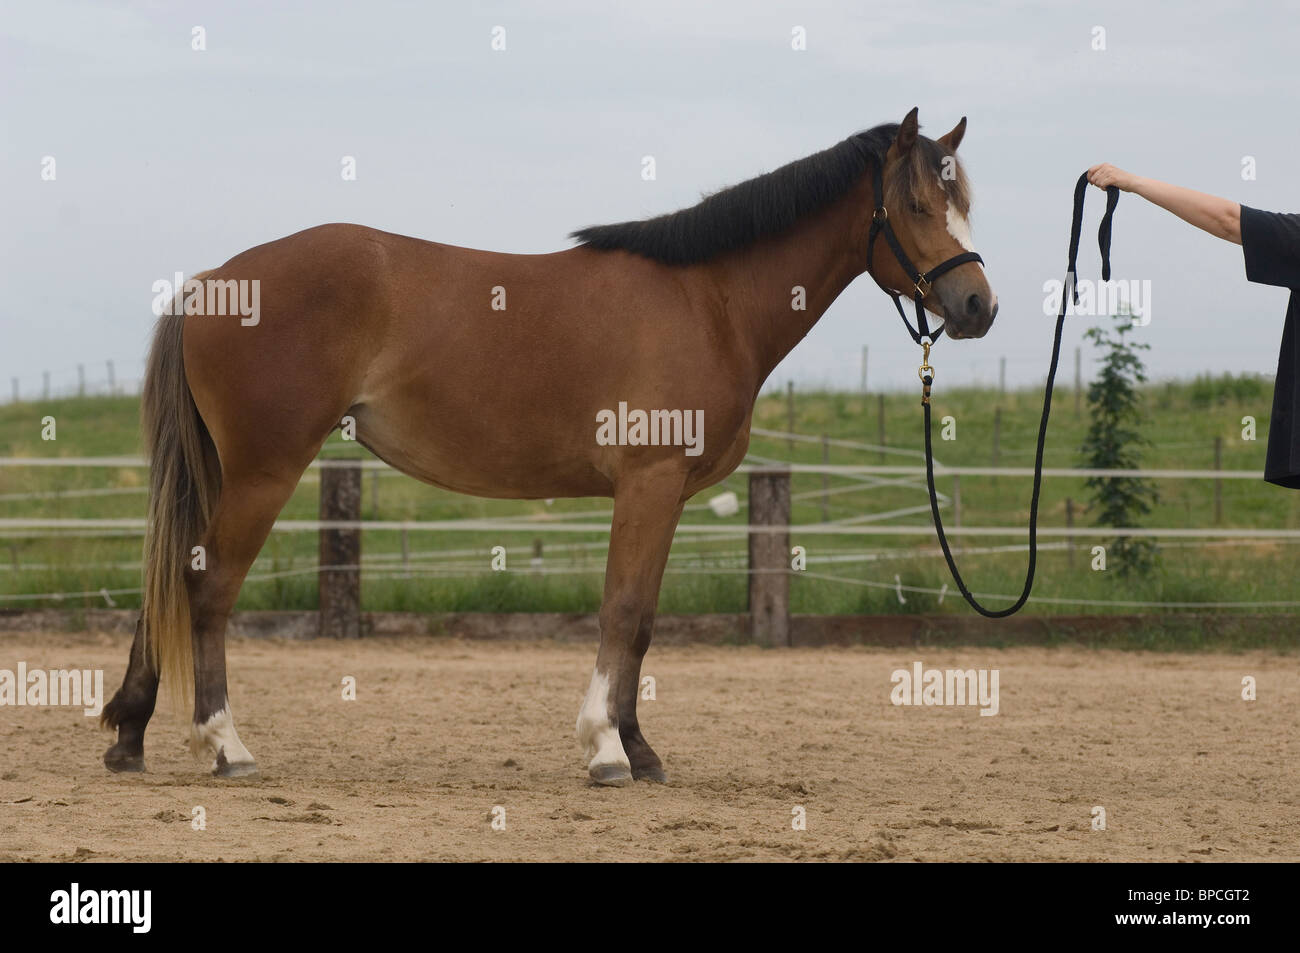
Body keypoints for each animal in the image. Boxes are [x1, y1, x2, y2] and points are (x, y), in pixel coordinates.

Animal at [100, 107, 997, 786]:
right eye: (918, 206)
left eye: (964, 205)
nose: (977, 306)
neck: (707, 300)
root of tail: (212, 281)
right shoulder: (648, 481)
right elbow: (622, 611)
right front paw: (605, 749)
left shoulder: (665, 494)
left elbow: (642, 623)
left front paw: (638, 747)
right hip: (265, 470)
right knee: (206, 590)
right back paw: (225, 745)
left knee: (170, 577)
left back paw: (129, 735)